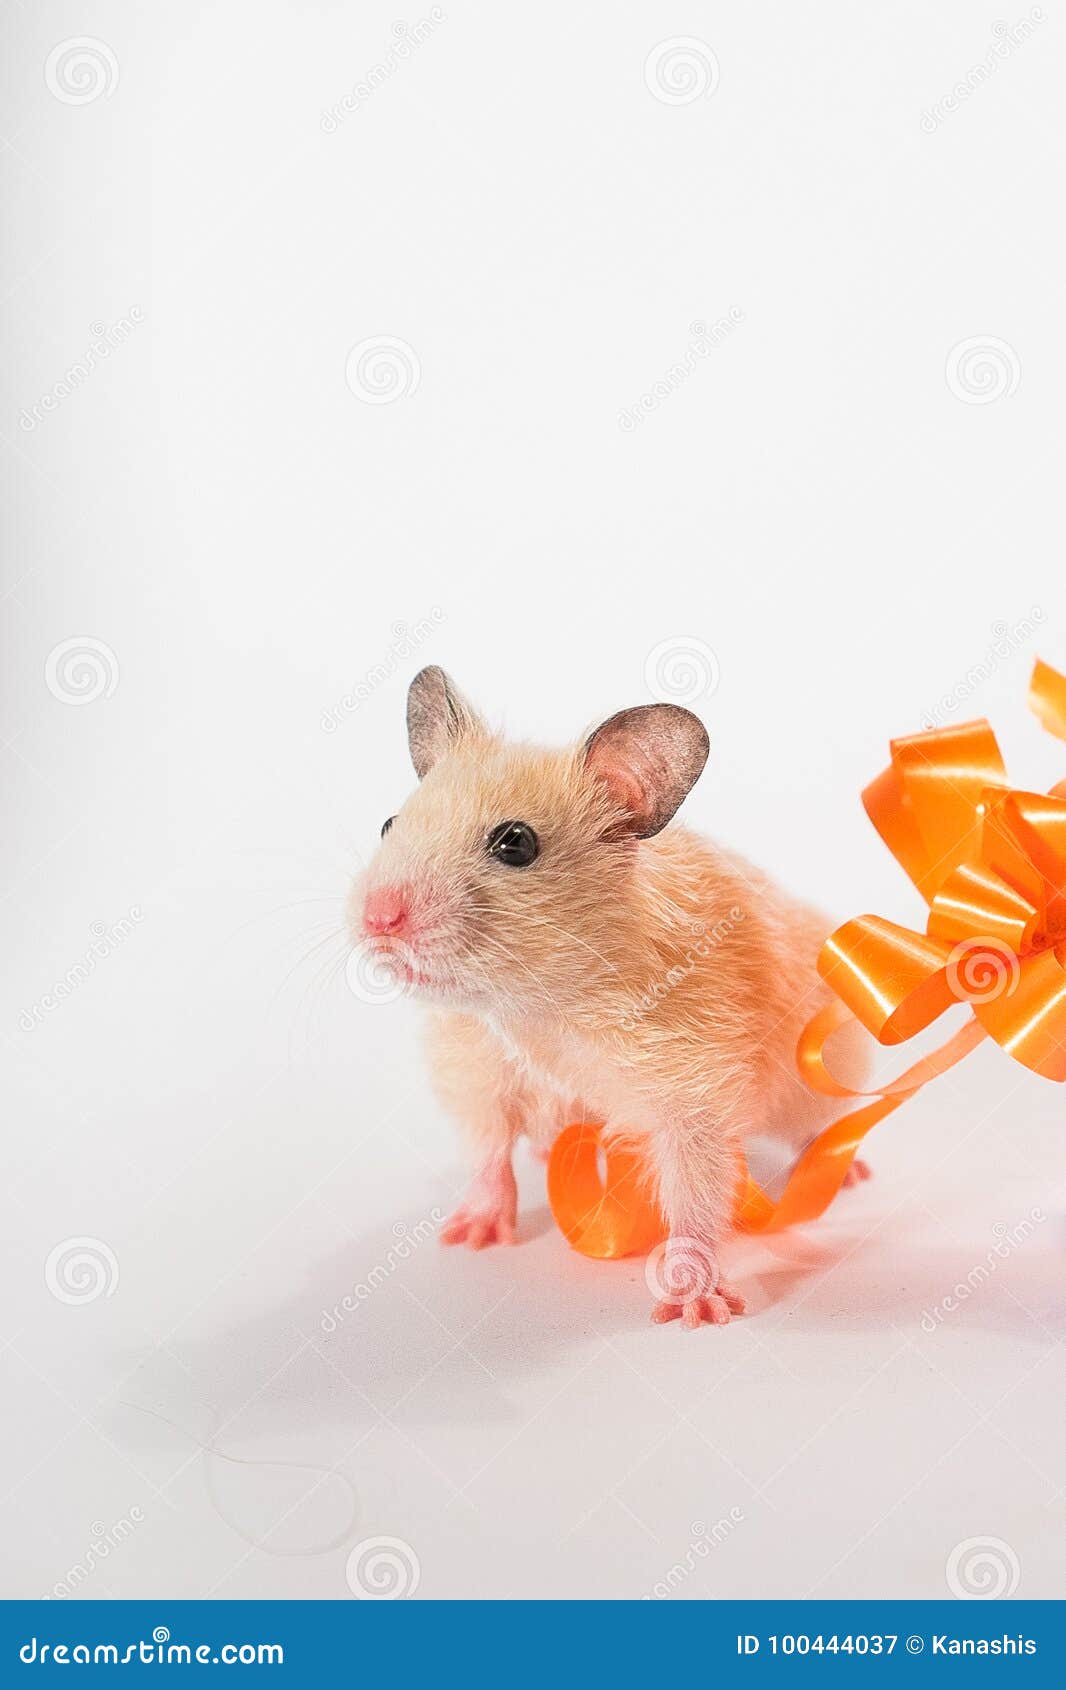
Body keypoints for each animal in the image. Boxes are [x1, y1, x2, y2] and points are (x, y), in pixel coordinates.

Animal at [351, 666, 867, 1330]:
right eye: (389, 825)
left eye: (515, 843)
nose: (377, 919)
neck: (540, 1005)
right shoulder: (478, 1072)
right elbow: (489, 1152)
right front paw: (470, 1237)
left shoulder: (691, 1101)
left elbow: (695, 1201)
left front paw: (698, 1309)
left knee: (821, 1126)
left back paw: (850, 1174)